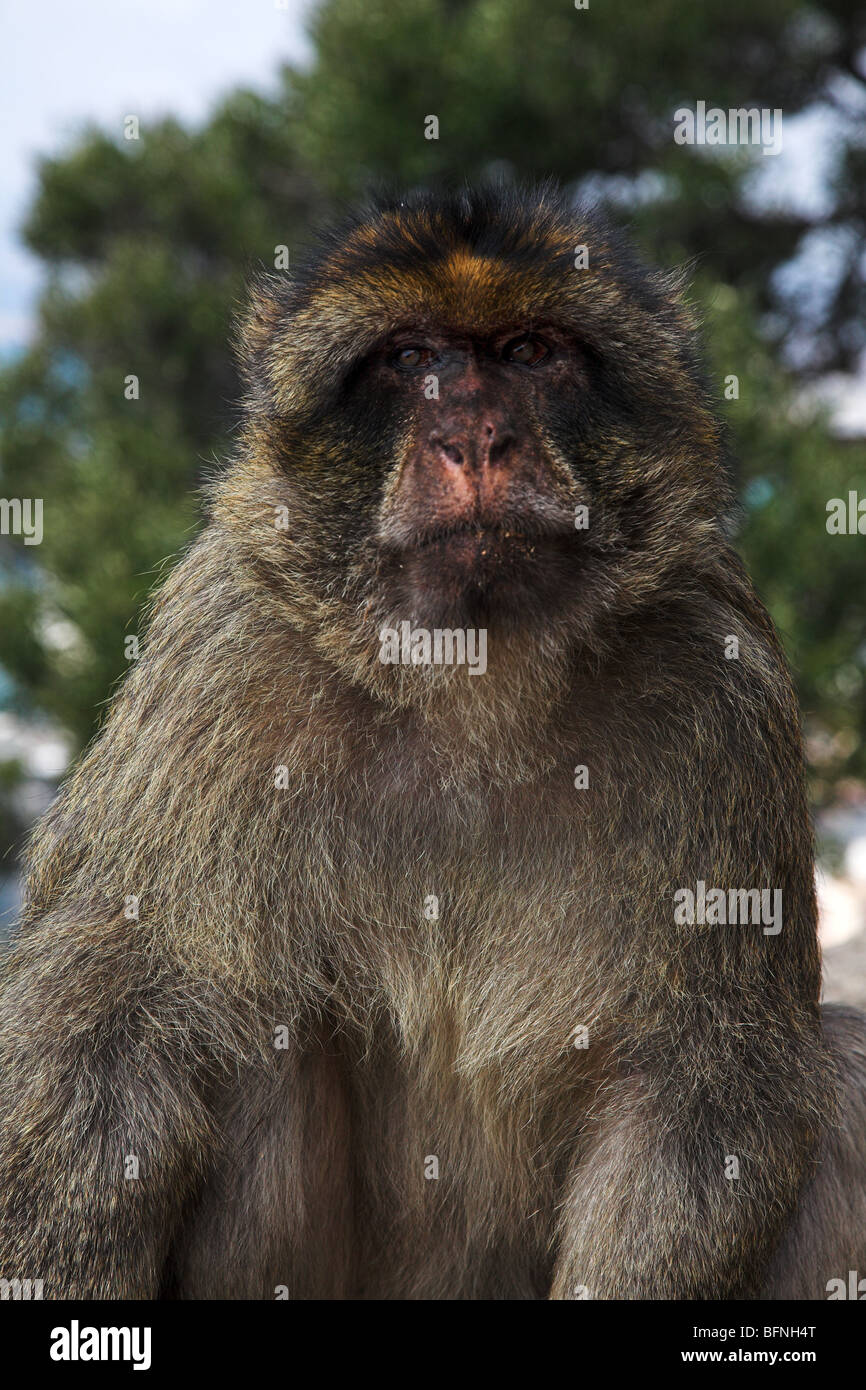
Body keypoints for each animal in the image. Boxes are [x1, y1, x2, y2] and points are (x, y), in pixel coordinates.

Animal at [1, 183, 864, 1301]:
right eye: (410, 358)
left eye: (533, 351)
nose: (475, 439)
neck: (469, 677)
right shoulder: (218, 652)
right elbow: (112, 1008)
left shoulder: (719, 680)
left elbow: (708, 1085)